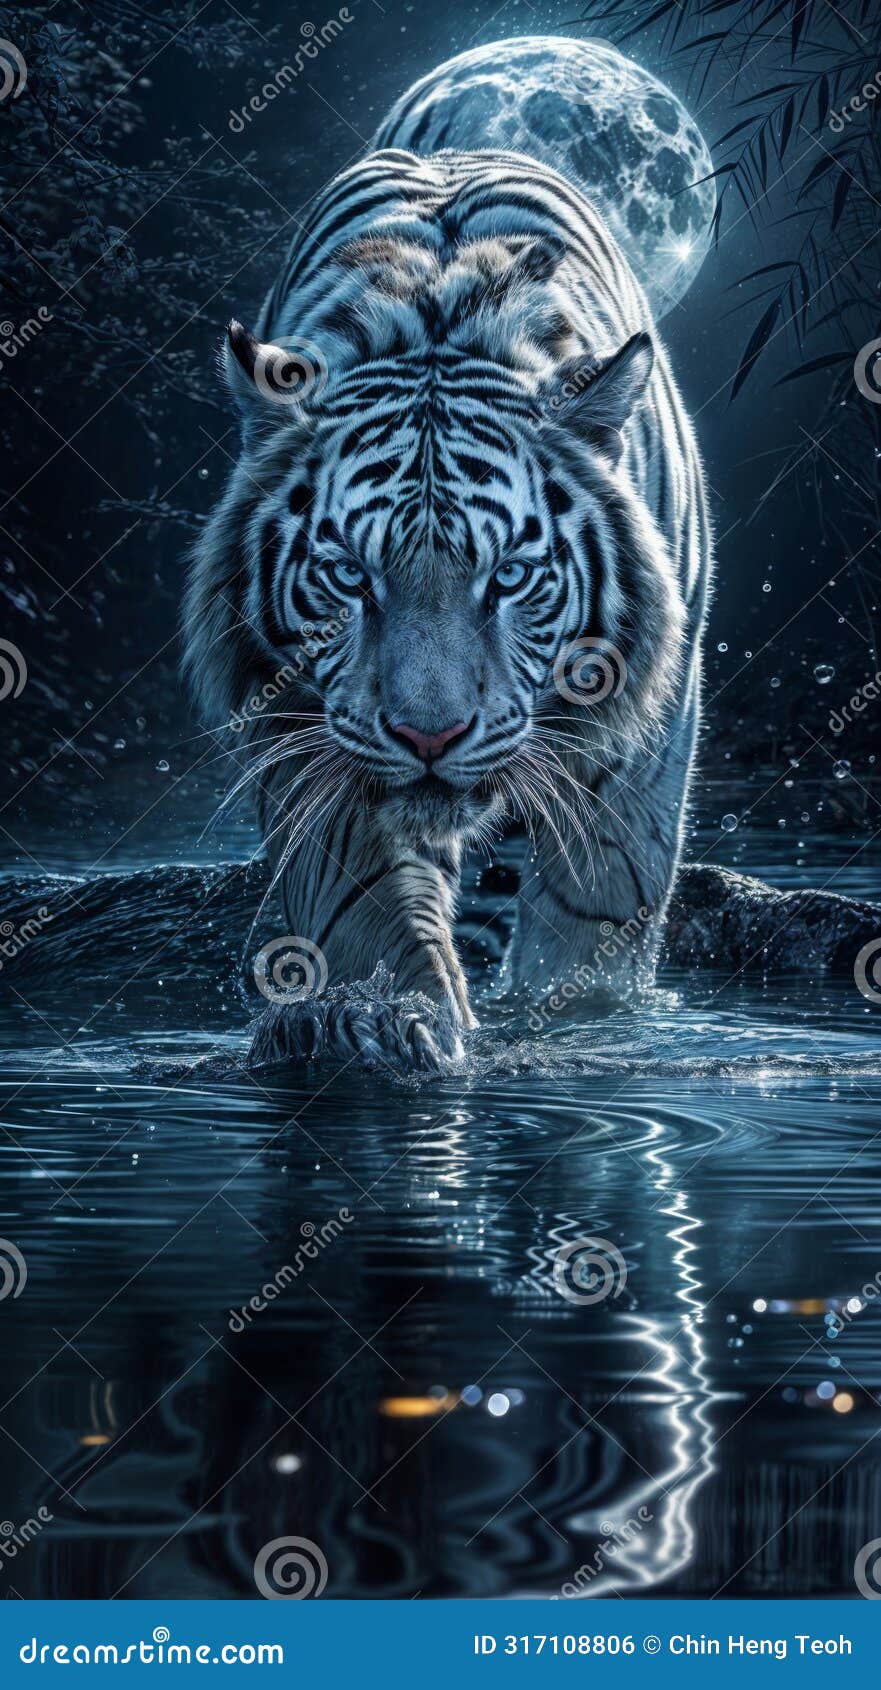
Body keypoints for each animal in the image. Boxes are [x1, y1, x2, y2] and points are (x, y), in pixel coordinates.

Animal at [183, 51, 712, 1072]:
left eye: (508, 575)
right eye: (350, 575)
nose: (430, 738)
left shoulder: (635, 744)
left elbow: (591, 917)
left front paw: (571, 1030)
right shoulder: (309, 726)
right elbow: (366, 895)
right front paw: (382, 1021)